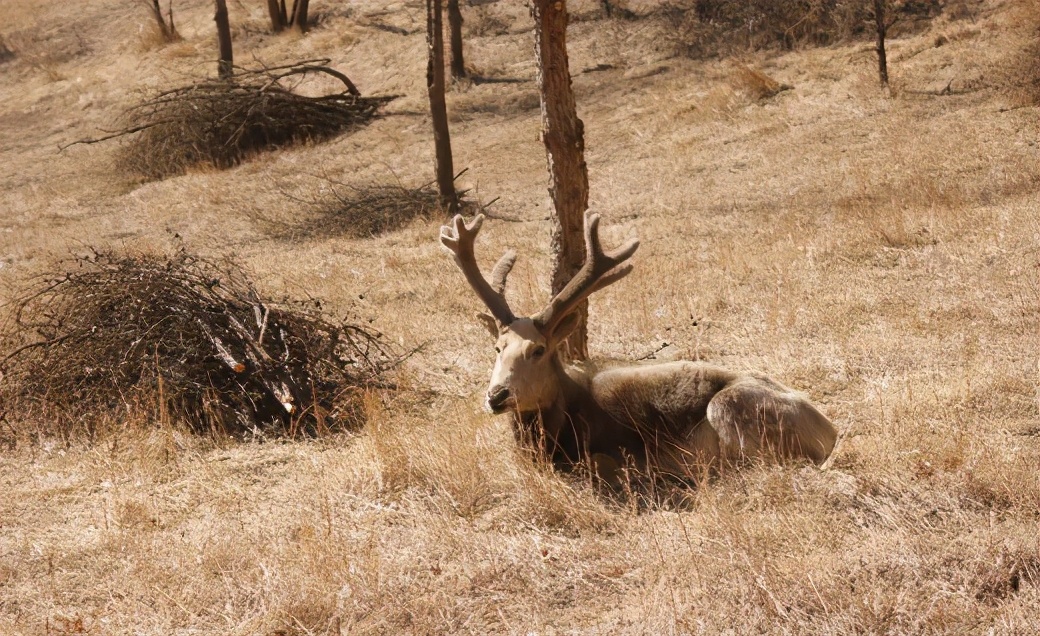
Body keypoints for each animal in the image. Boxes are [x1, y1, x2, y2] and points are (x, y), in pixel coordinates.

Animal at [440, 212, 838, 481]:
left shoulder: (614, 452)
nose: (496, 396)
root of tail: (830, 432)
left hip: (729, 408)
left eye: (538, 350)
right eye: (497, 347)